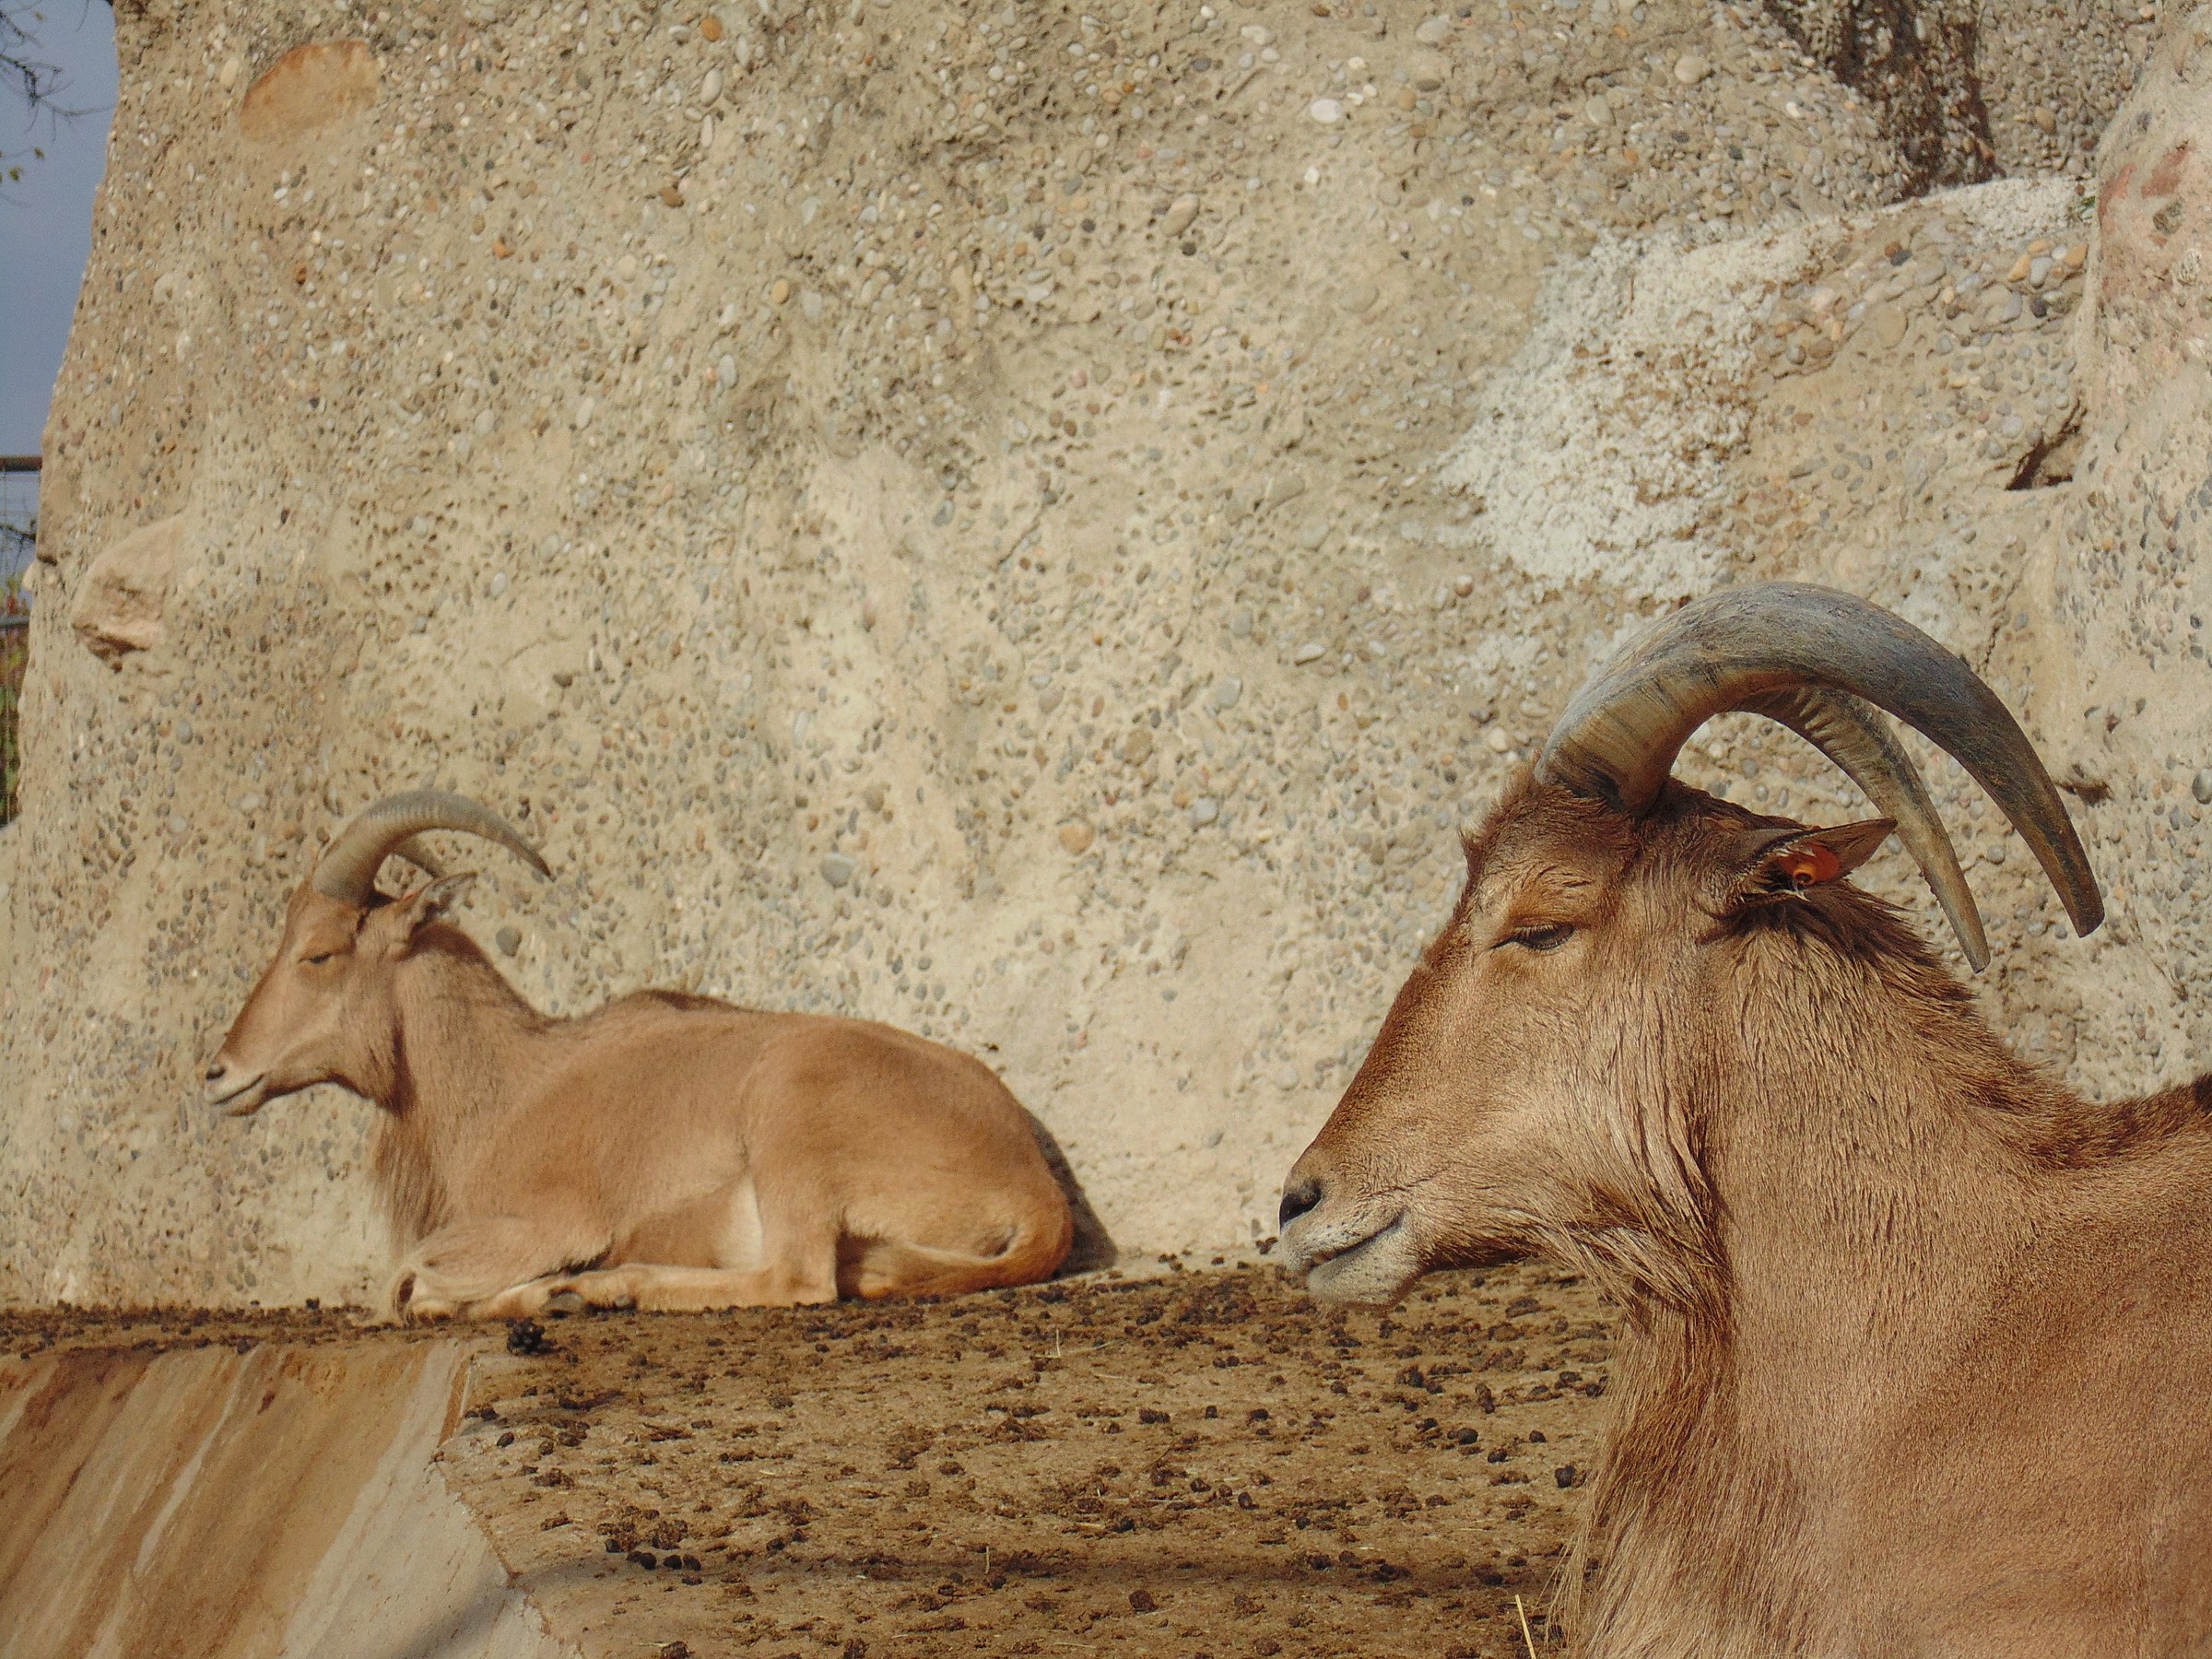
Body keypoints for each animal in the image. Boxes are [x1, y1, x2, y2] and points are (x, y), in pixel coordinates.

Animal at [205, 790, 1073, 1320]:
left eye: (318, 954)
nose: (220, 1075)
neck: (505, 1092)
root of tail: (1036, 1190)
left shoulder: (542, 1222)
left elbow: (411, 1285)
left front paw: (551, 1292)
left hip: (791, 1111)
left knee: (796, 1279)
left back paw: (615, 1287)